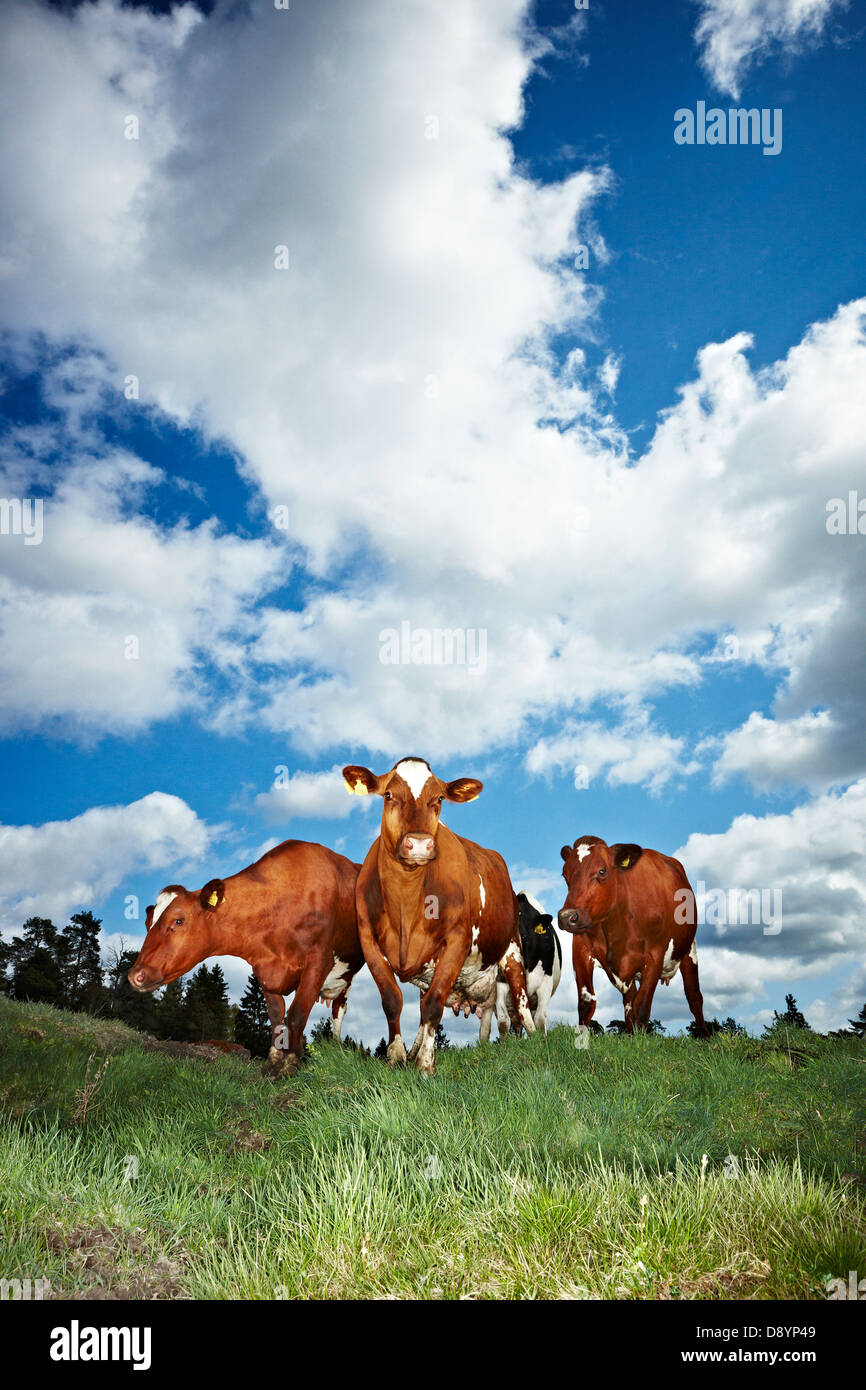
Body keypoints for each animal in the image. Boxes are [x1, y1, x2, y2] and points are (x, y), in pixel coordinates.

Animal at [128, 839, 364, 1074]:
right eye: (148, 924)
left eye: (178, 920)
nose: (134, 975)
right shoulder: (266, 971)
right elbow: (277, 1018)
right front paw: (273, 1064)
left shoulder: (318, 961)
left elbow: (296, 1016)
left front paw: (290, 1064)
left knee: (339, 1011)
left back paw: (336, 1049)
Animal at [342, 757, 536, 1073]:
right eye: (388, 795)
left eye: (440, 799)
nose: (420, 844)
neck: (406, 903)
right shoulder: (368, 940)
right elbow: (392, 1000)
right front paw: (398, 1056)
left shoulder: (456, 941)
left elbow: (434, 1003)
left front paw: (425, 1064)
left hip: (511, 950)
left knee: (521, 1000)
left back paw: (538, 1037)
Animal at [478, 892, 562, 1041]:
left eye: (523, 937)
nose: (500, 972)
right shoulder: (500, 985)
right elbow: (503, 1021)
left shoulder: (546, 982)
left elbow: (540, 1019)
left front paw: (543, 1041)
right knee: (486, 1027)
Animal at [557, 835, 709, 1037]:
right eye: (564, 874)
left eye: (602, 871)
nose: (567, 917)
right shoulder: (581, 951)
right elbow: (586, 1004)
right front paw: (582, 1039)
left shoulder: (655, 955)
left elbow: (643, 1005)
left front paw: (641, 1042)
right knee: (629, 1000)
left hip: (689, 949)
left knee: (694, 995)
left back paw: (706, 1036)